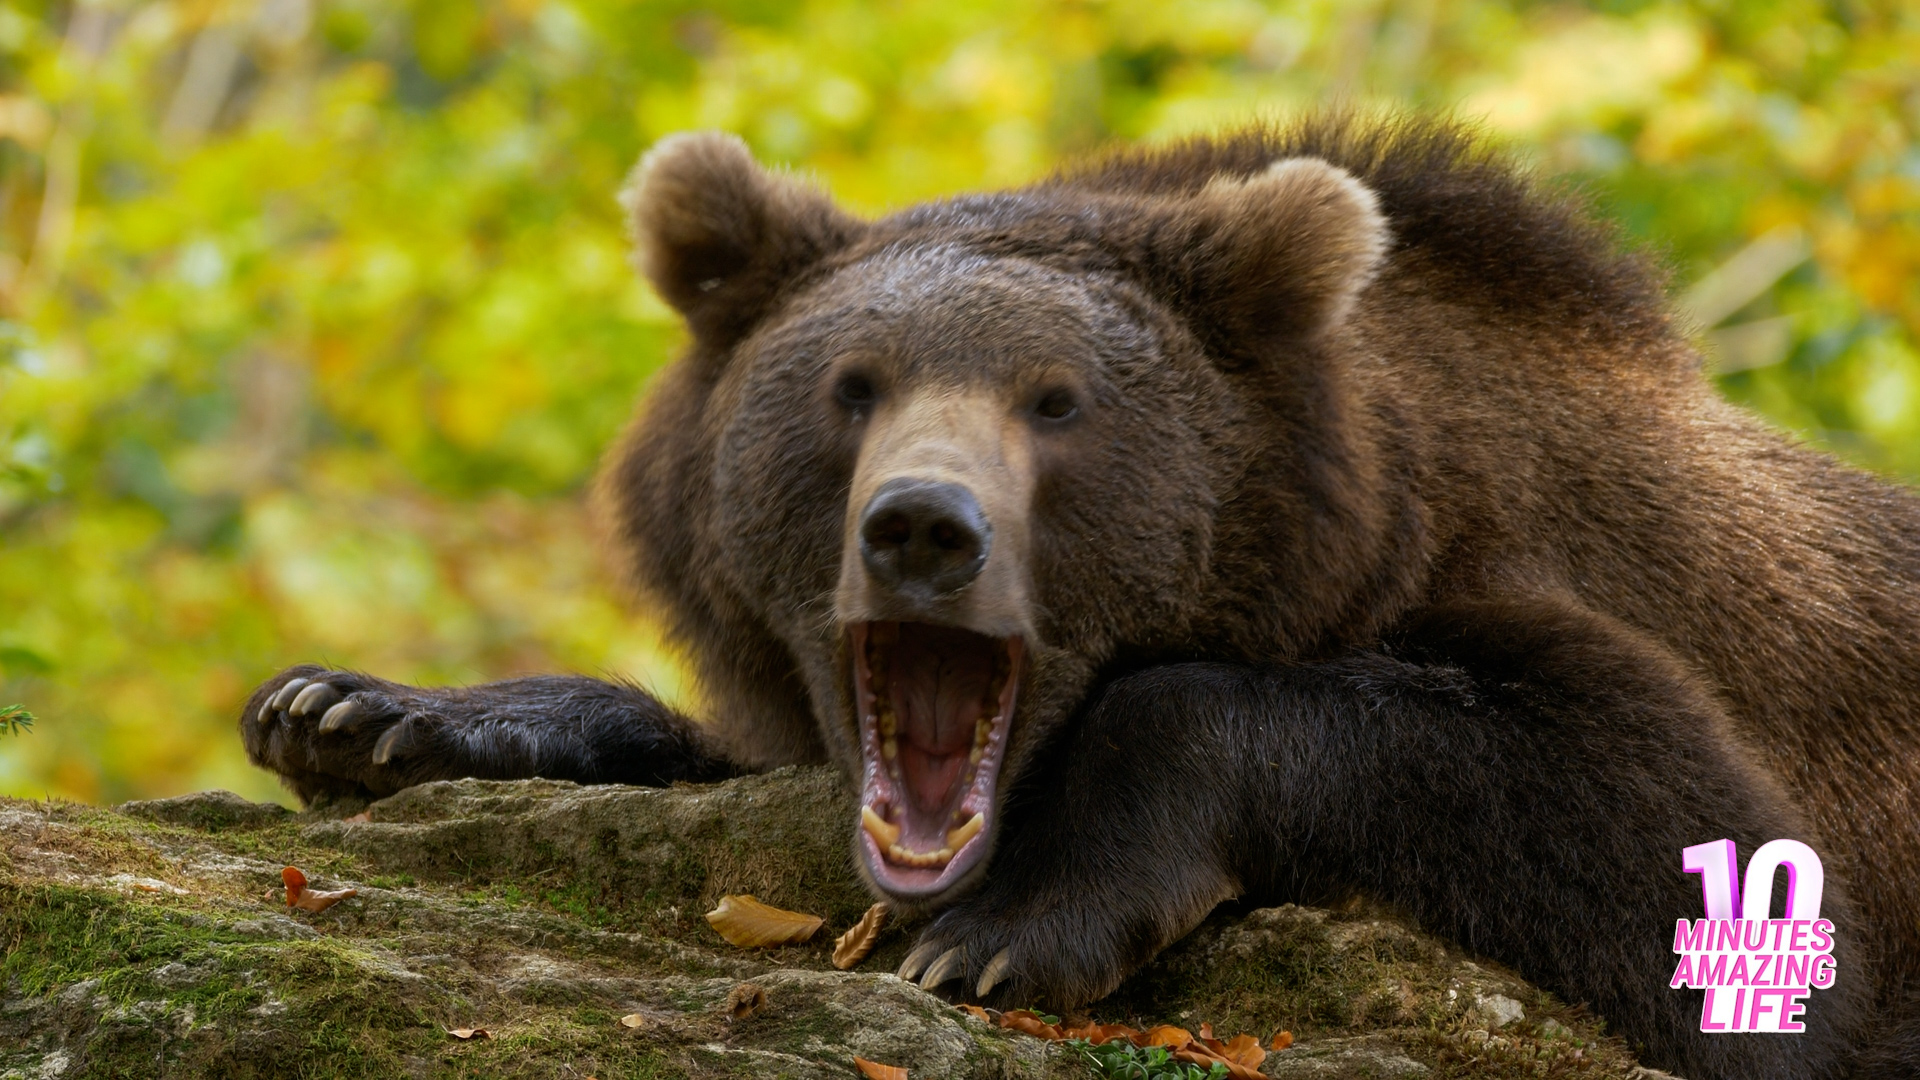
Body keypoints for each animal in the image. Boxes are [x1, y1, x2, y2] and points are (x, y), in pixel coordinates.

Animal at [240, 115, 1920, 1079]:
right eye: (852, 387)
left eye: (1056, 403)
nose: (923, 530)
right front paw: (358, 710)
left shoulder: (1603, 607)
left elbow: (1650, 828)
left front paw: (1013, 930)